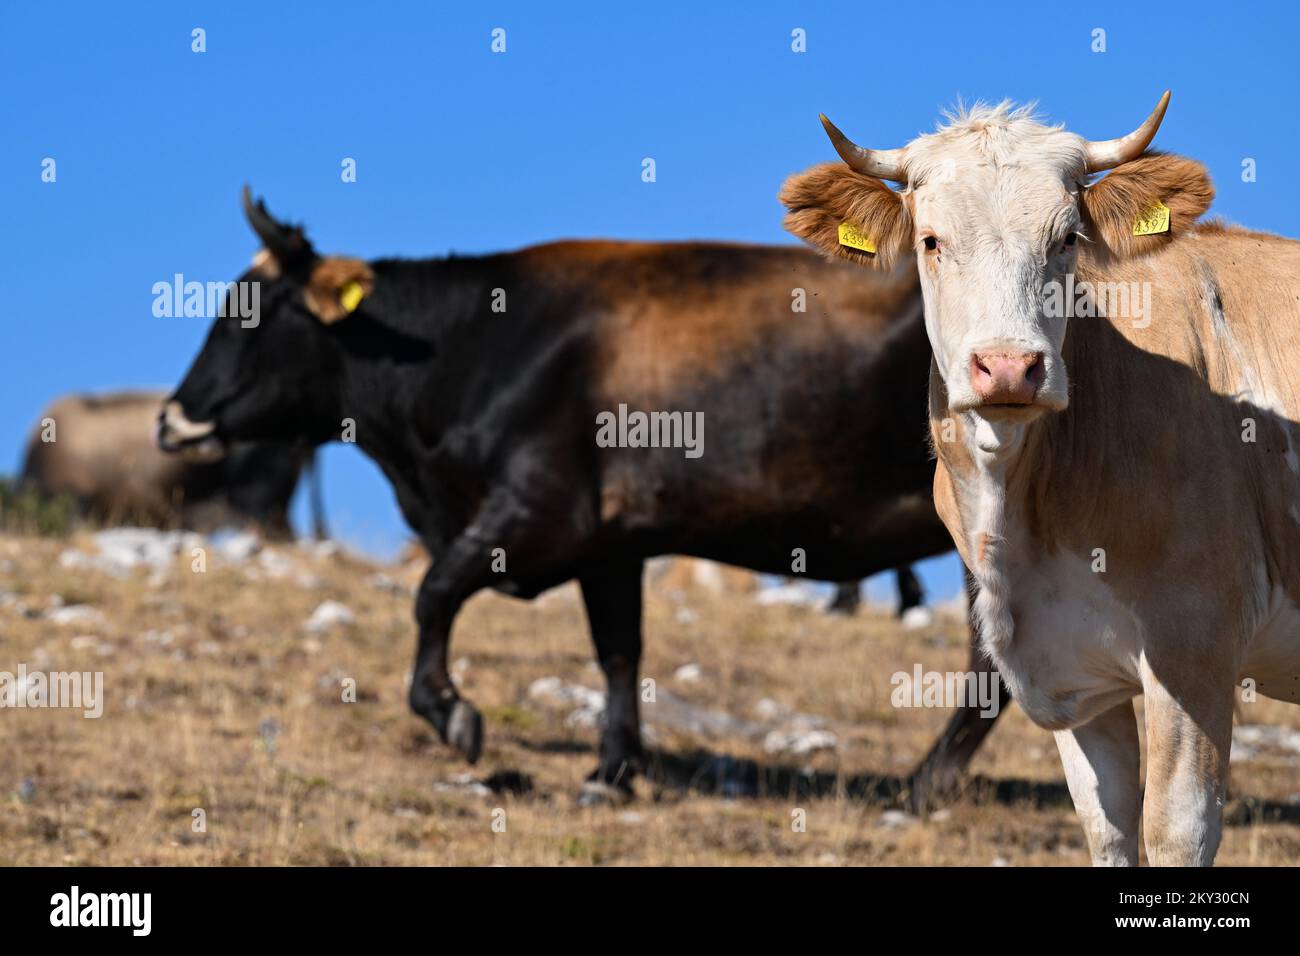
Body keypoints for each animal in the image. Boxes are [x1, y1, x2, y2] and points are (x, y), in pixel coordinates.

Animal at [156, 189, 1006, 805]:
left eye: (250, 313)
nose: (169, 419)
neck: (476, 350)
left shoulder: (540, 511)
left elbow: (434, 593)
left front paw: (453, 713)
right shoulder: (611, 544)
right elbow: (618, 651)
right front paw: (611, 770)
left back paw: (924, 785)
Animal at [780, 91, 1300, 864]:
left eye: (1067, 239)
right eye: (930, 241)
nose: (1009, 368)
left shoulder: (1194, 646)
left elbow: (1175, 831)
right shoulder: (1075, 674)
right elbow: (1108, 826)